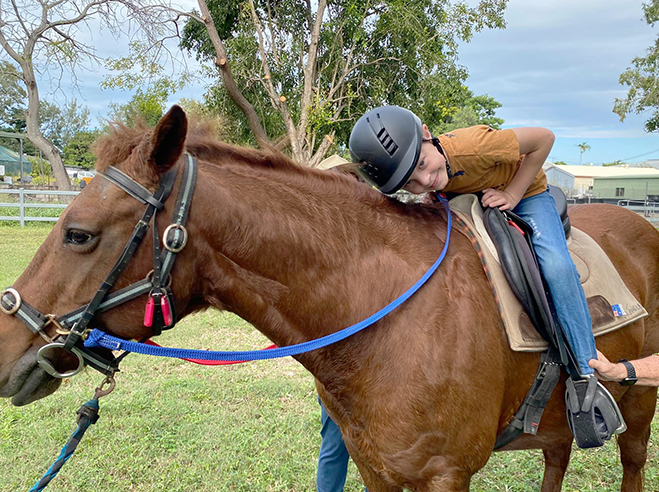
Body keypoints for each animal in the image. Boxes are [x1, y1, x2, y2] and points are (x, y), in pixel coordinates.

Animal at [0, 106, 657, 492]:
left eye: (78, 234)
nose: (6, 350)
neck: (386, 314)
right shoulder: (378, 469)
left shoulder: (445, 475)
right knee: (557, 456)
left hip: (638, 407)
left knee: (630, 459)